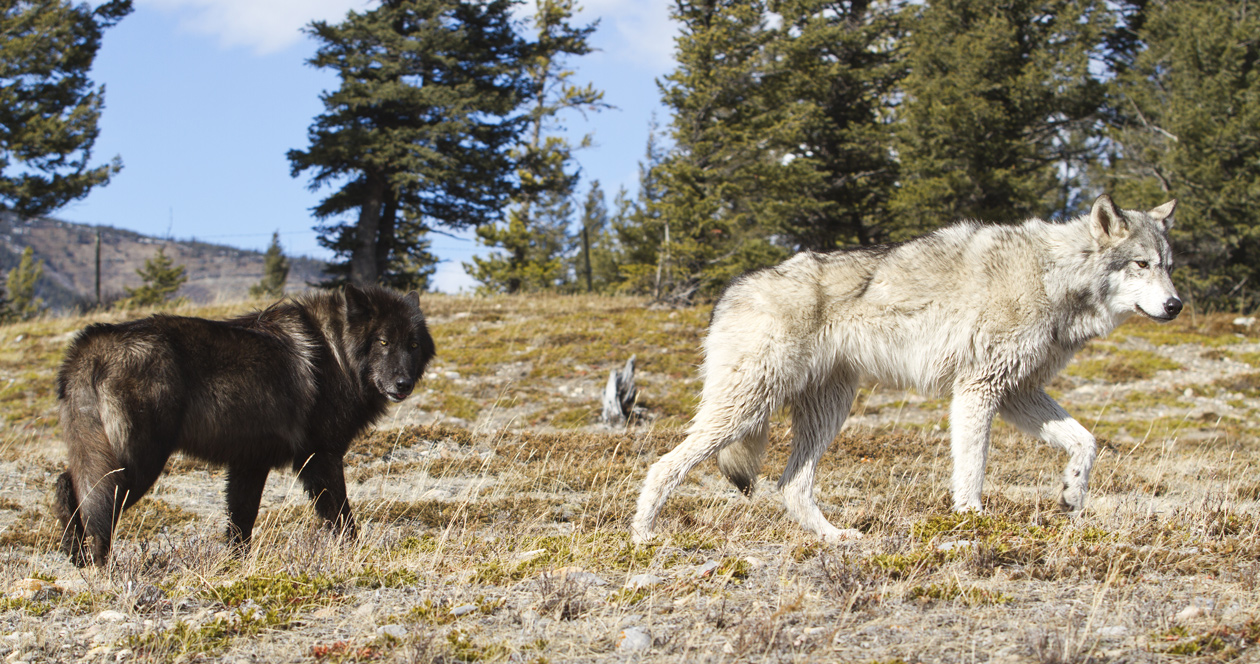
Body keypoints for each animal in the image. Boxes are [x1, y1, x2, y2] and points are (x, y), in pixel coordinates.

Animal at [53, 285, 435, 566]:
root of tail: (91, 345)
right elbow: (342, 518)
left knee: (65, 486)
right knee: (94, 502)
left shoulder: (249, 463)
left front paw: (237, 566)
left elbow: (241, 522)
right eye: (383, 342)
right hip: (139, 465)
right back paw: (102, 566)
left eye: (413, 344)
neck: (336, 352)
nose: (403, 384)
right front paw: (357, 555)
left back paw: (77, 560)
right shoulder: (321, 459)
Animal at [632, 195, 1181, 544]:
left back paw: (835, 538)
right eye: (1141, 264)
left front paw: (1071, 494)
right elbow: (973, 470)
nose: (1176, 305)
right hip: (747, 410)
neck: (1054, 277)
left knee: (792, 487)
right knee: (662, 465)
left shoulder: (1017, 392)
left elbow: (1086, 442)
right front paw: (974, 524)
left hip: (826, 412)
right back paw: (641, 537)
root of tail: (731, 289)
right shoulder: (979, 389)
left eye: (1169, 265)